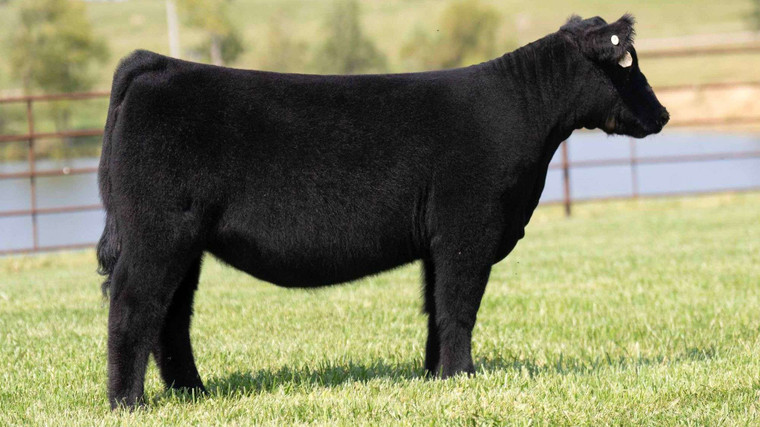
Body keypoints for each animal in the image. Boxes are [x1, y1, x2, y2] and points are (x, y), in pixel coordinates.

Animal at [97, 14, 669, 408]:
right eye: (626, 63)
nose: (663, 114)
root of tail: (159, 64)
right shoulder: (468, 229)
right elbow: (459, 305)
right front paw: (461, 376)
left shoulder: (440, 239)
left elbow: (436, 308)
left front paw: (435, 375)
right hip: (158, 233)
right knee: (134, 306)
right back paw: (128, 403)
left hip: (185, 241)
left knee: (172, 316)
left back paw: (193, 392)